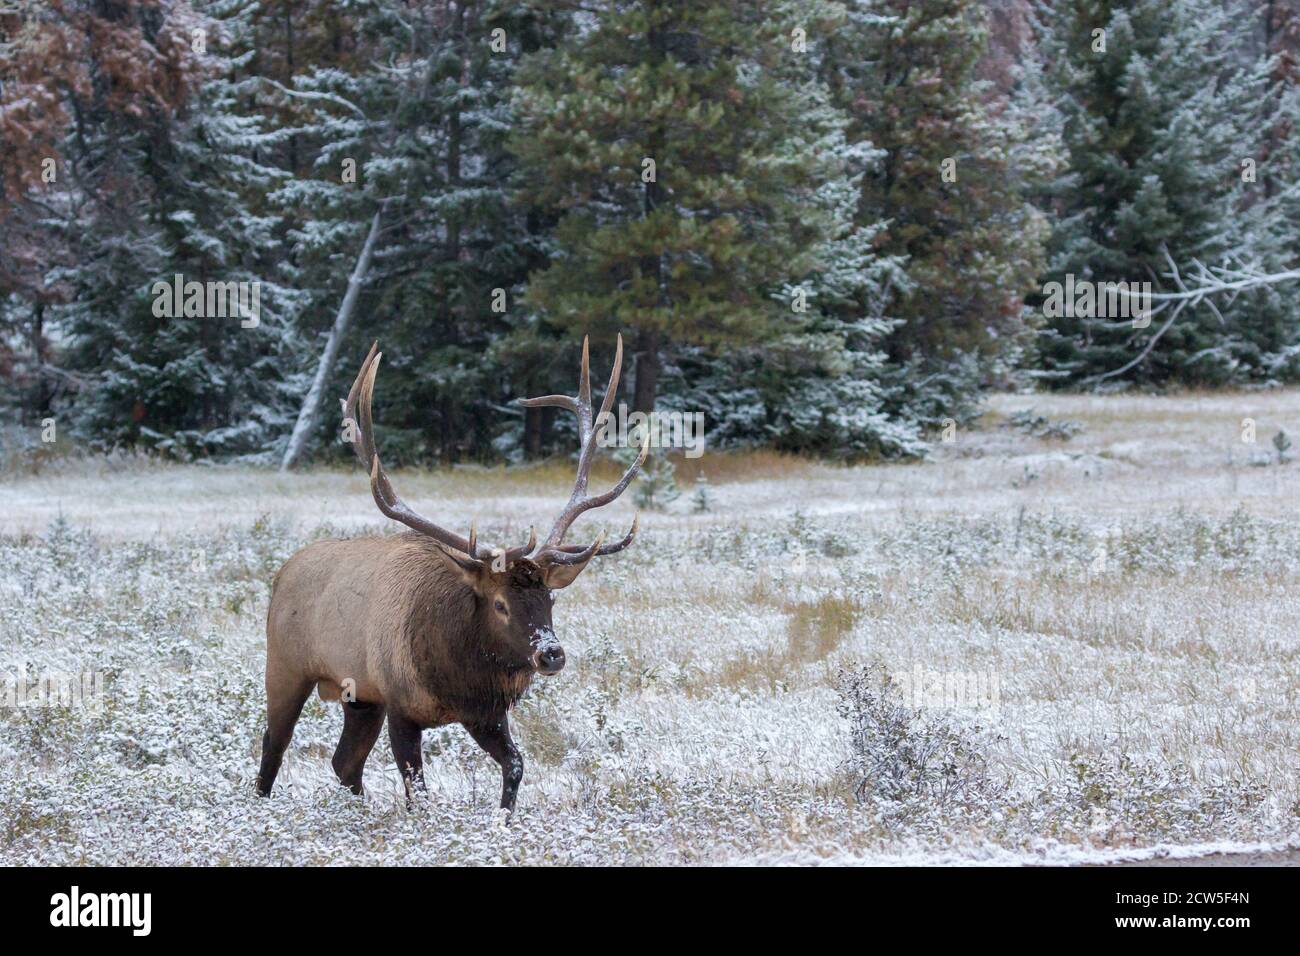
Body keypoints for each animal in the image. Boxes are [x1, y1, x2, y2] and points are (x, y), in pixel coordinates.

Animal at [255, 335, 647, 812]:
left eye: (550, 598)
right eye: (499, 604)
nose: (551, 654)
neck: (454, 675)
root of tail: (281, 574)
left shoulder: (485, 713)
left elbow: (516, 766)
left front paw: (503, 819)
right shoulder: (399, 703)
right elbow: (418, 793)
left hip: (360, 696)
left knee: (344, 762)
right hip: (286, 665)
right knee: (273, 747)